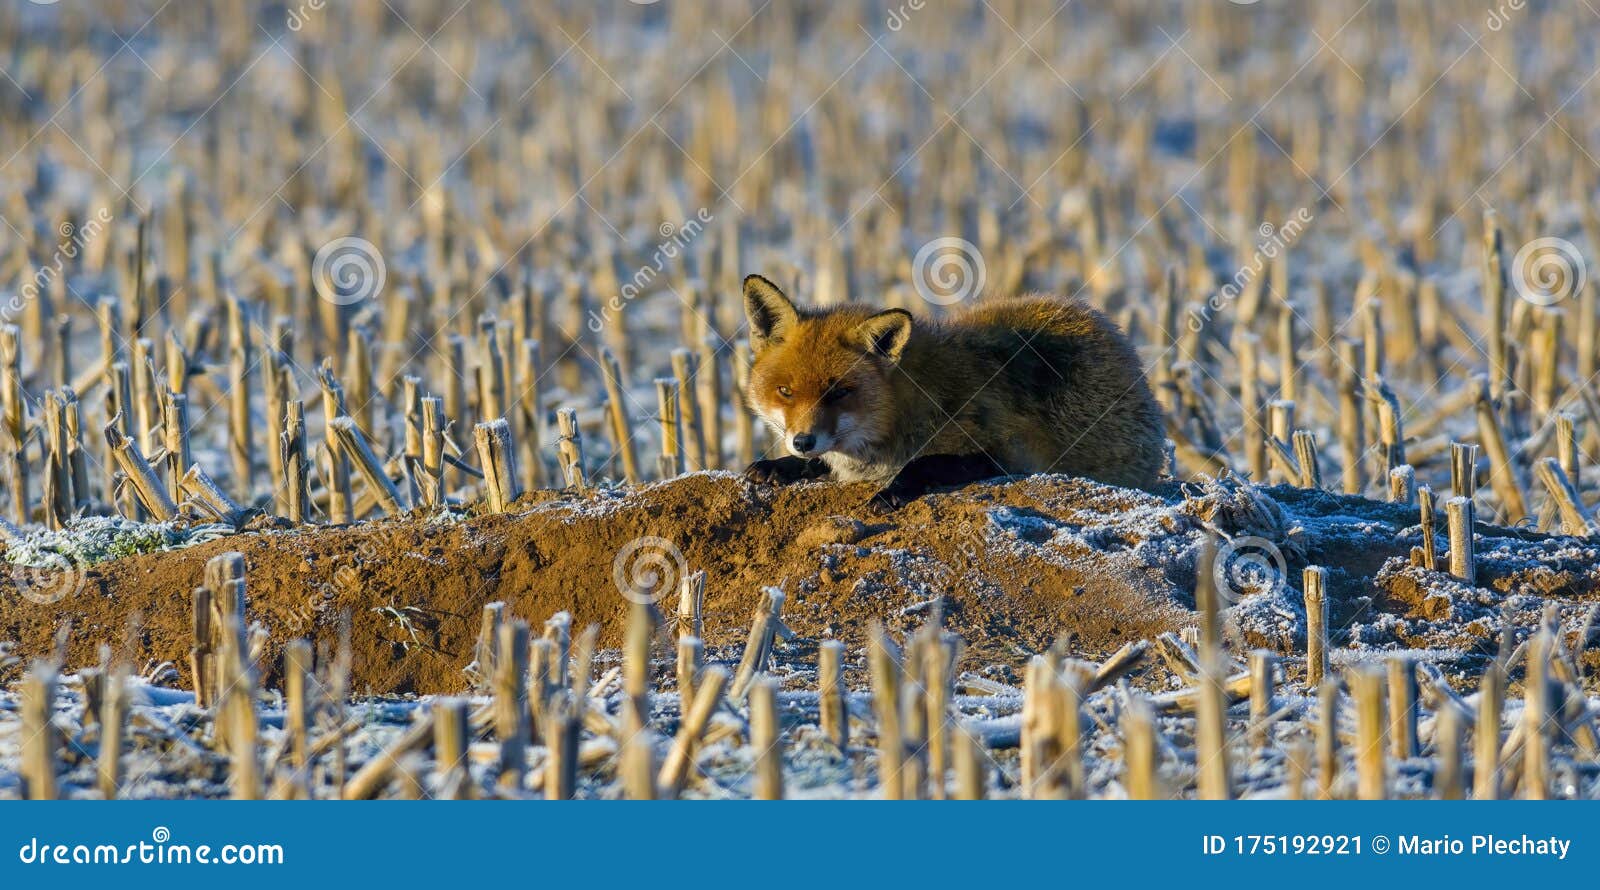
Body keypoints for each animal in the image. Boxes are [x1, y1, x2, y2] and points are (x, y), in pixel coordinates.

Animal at [739, 274, 1166, 510]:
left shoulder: (1011, 451)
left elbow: (925, 463)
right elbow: (818, 464)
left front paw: (893, 492)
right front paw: (780, 465)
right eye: (784, 391)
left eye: (840, 392)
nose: (803, 440)